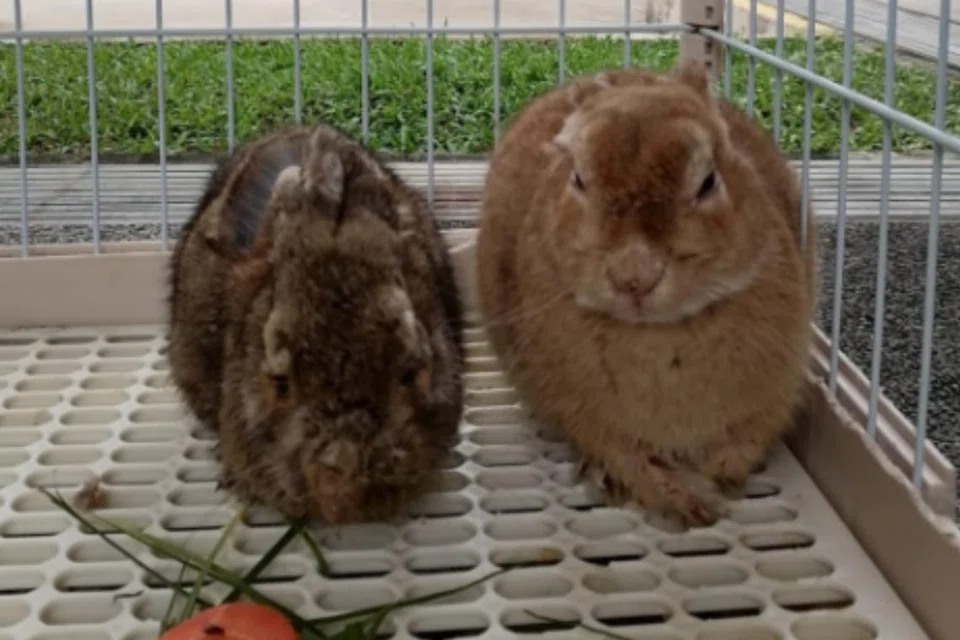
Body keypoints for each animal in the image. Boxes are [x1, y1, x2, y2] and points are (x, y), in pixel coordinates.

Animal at [475, 59, 818, 528]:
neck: (658, 333)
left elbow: (742, 443)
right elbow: (630, 460)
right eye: (578, 179)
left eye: (708, 181)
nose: (634, 277)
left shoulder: (773, 396)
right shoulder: (593, 422)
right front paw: (684, 502)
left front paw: (716, 482)